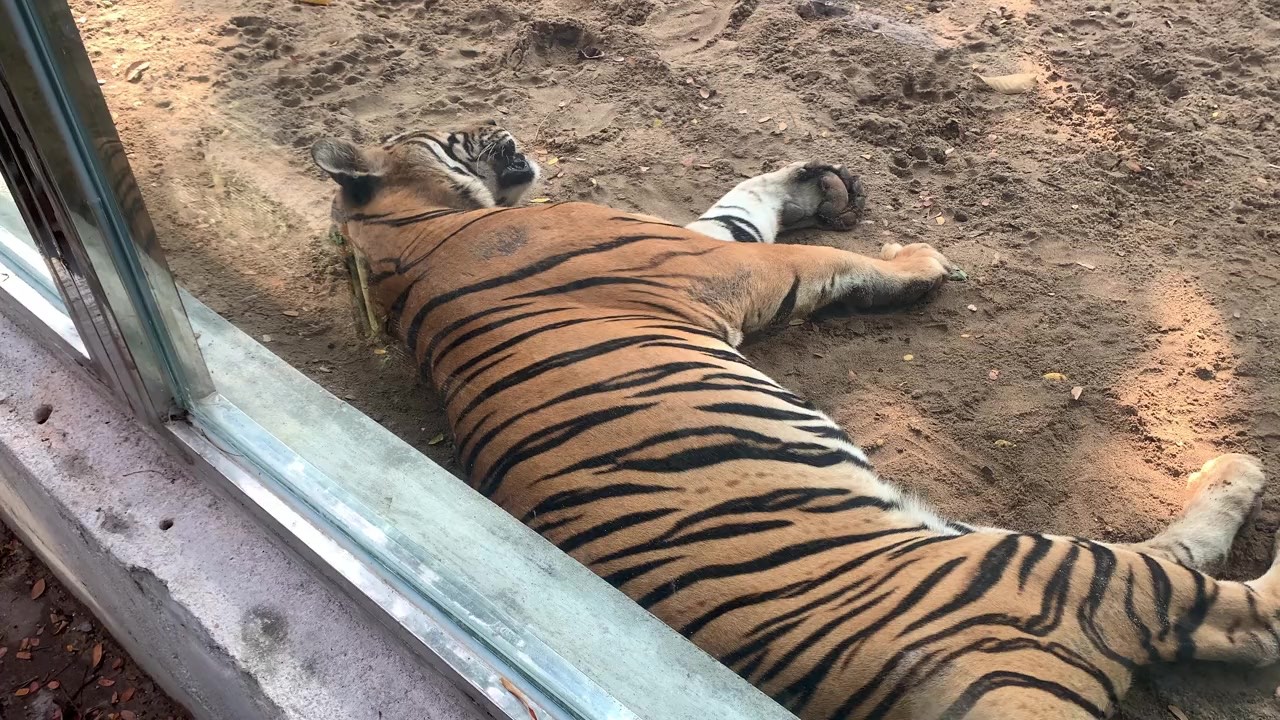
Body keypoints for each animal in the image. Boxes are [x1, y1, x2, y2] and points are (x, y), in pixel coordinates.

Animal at [310, 121, 1279, 720]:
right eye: (452, 133)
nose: (501, 128)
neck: (400, 243)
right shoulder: (707, 264)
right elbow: (811, 259)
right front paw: (917, 261)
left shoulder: (705, 245)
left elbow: (745, 205)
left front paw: (811, 182)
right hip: (1048, 572)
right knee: (1229, 605)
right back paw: (1236, 470)